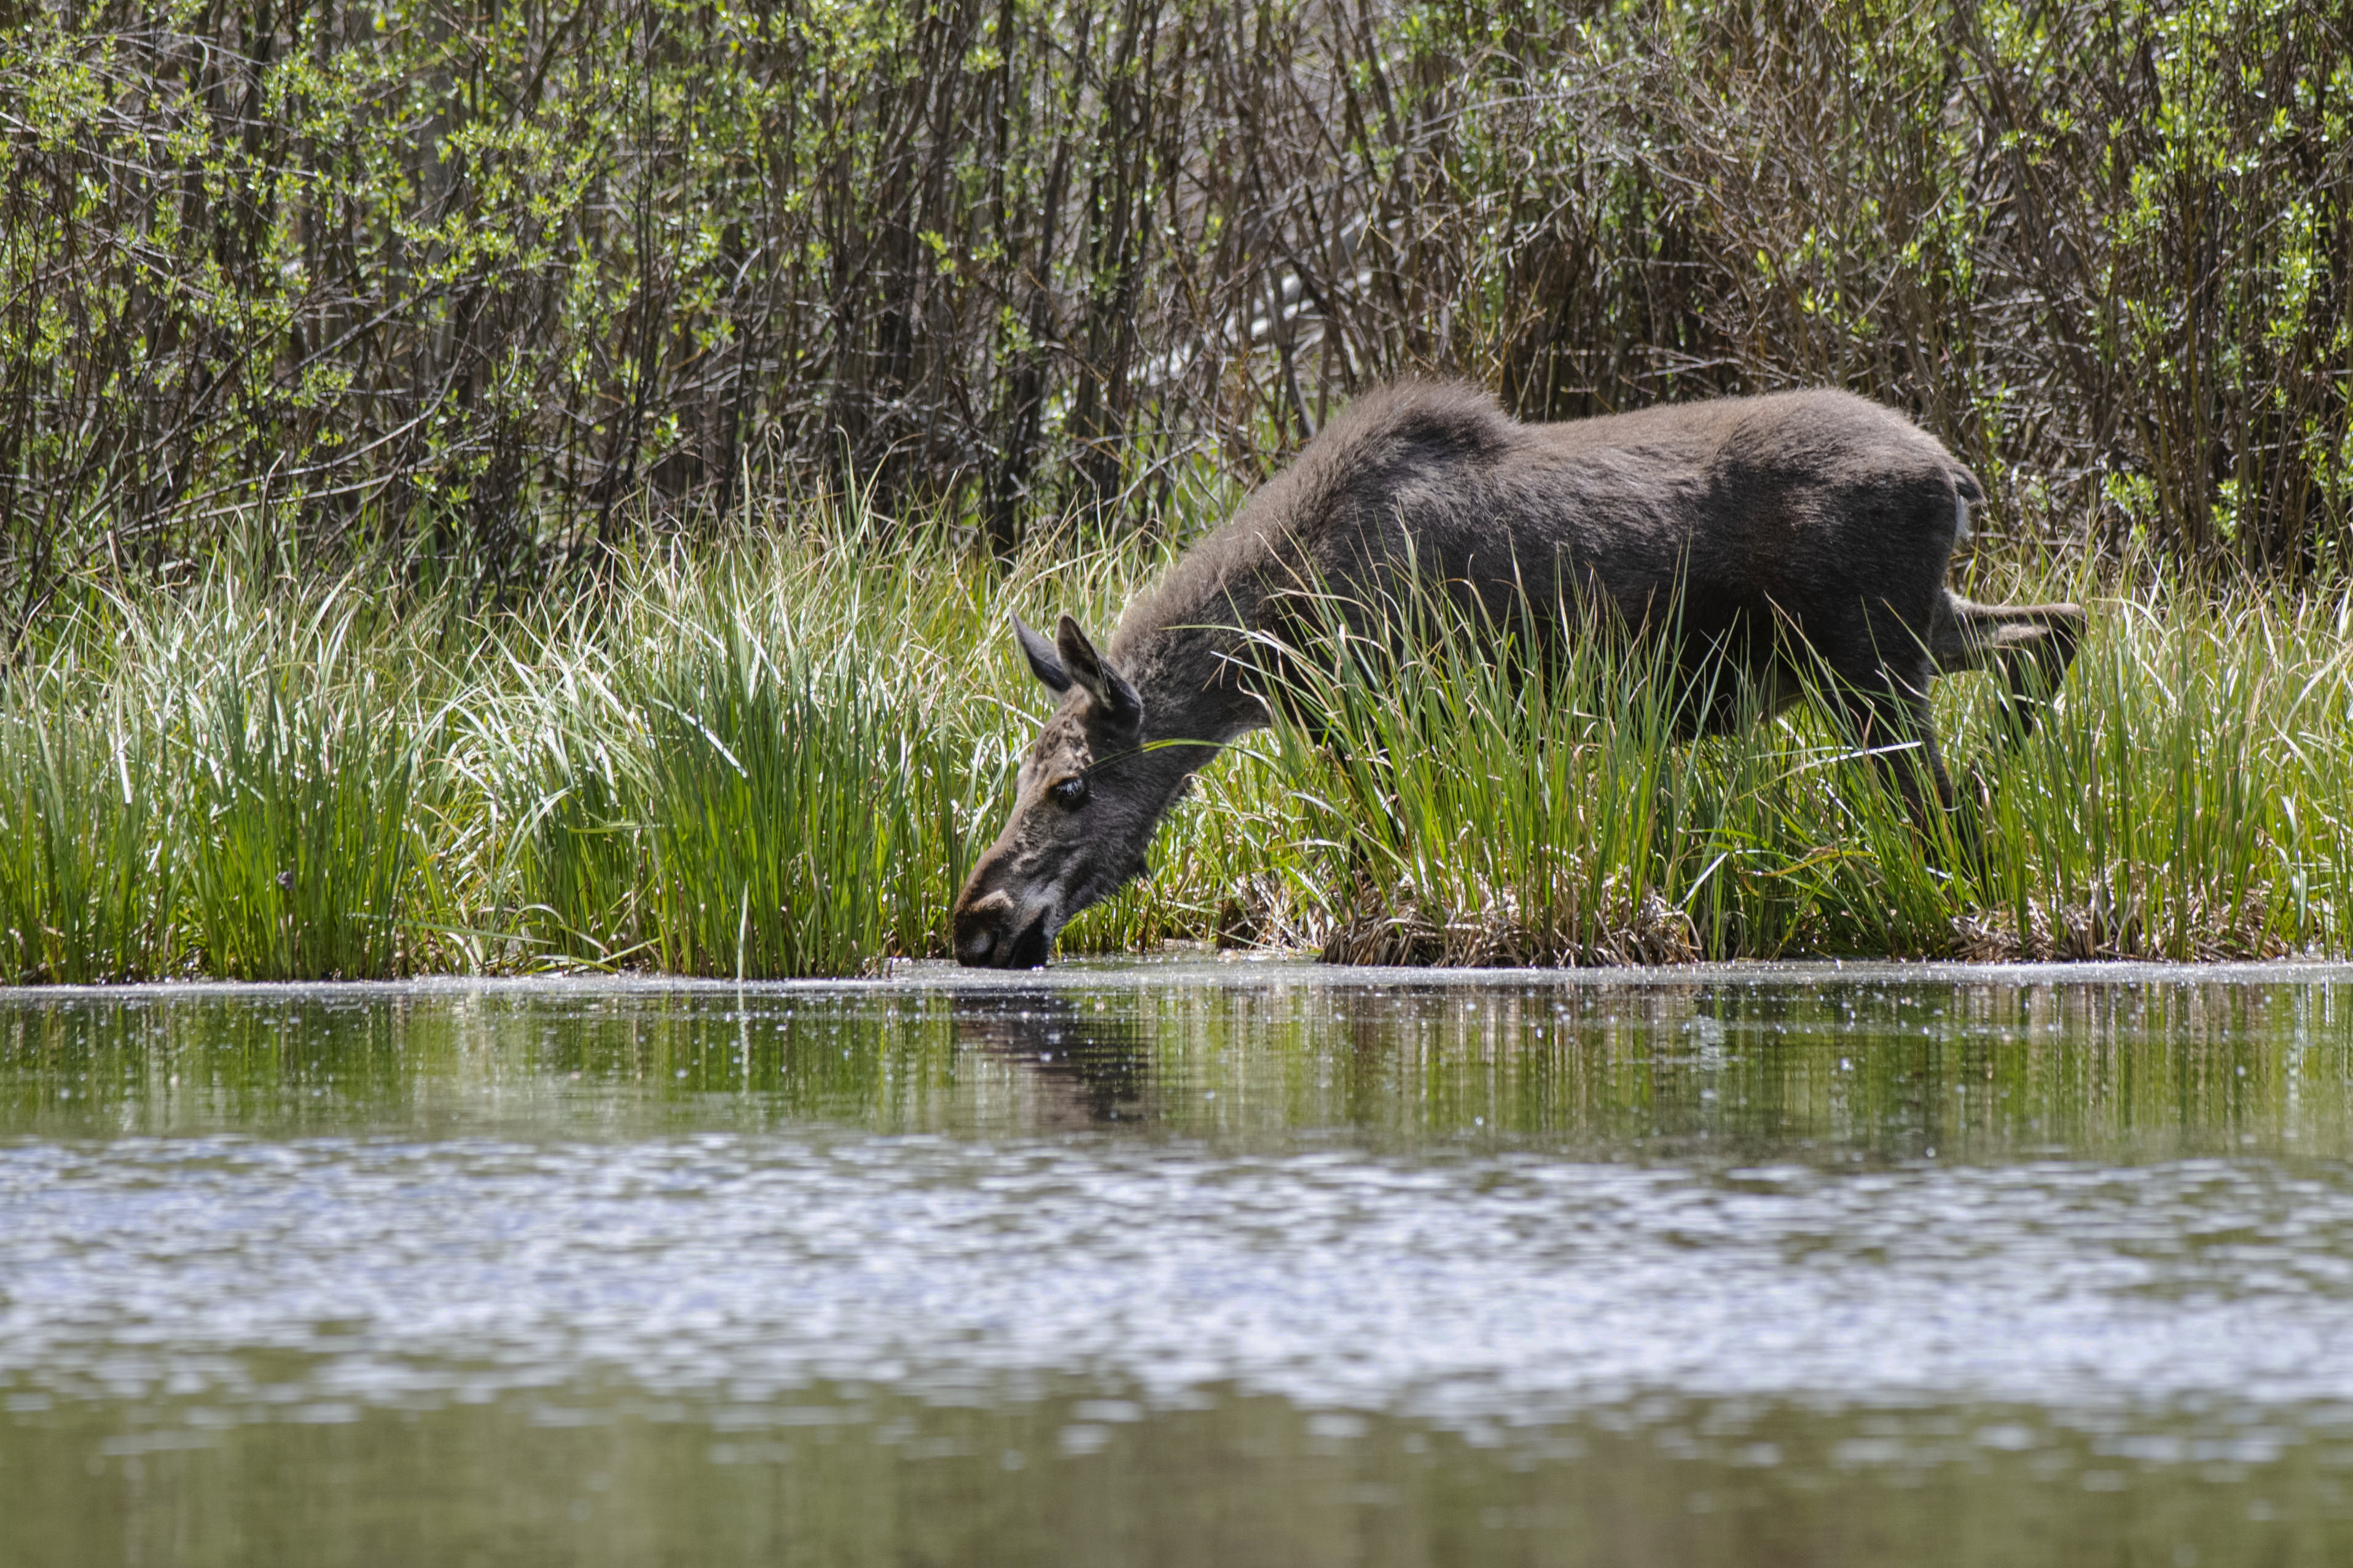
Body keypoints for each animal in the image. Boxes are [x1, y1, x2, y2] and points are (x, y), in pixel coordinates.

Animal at [951, 380, 2083, 968]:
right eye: (1020, 771)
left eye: (1071, 785)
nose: (975, 922)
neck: (1271, 651)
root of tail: (1955, 475)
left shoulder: (1395, 714)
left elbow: (1381, 865)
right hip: (1920, 630)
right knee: (2057, 626)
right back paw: (2010, 767)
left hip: (1868, 665)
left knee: (1942, 802)